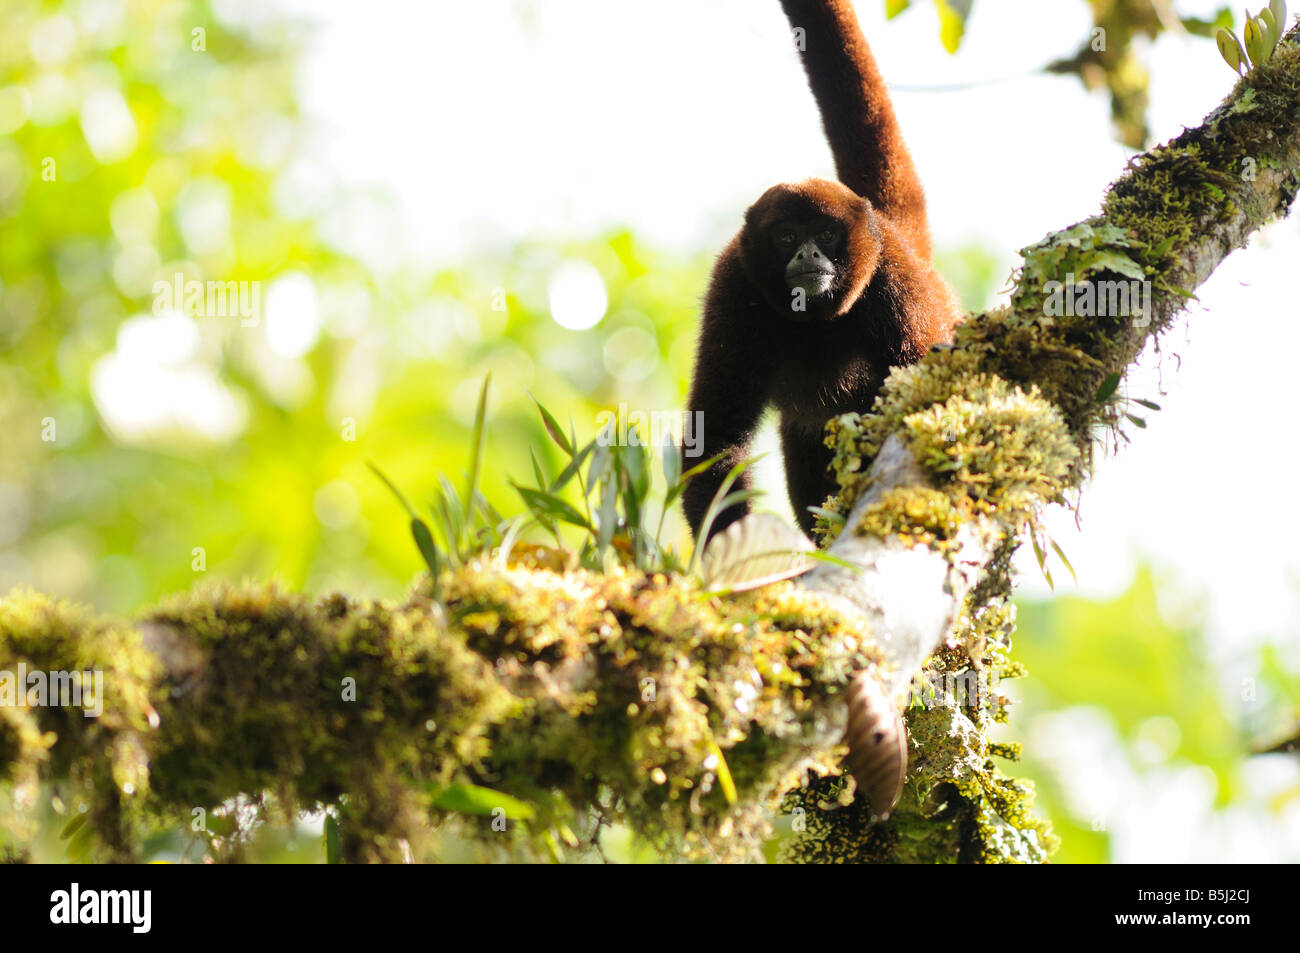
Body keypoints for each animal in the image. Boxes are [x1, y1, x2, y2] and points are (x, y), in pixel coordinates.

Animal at [682, 0, 962, 542]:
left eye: (827, 234)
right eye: (787, 237)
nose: (808, 256)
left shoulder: (893, 275)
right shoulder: (734, 284)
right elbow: (715, 437)